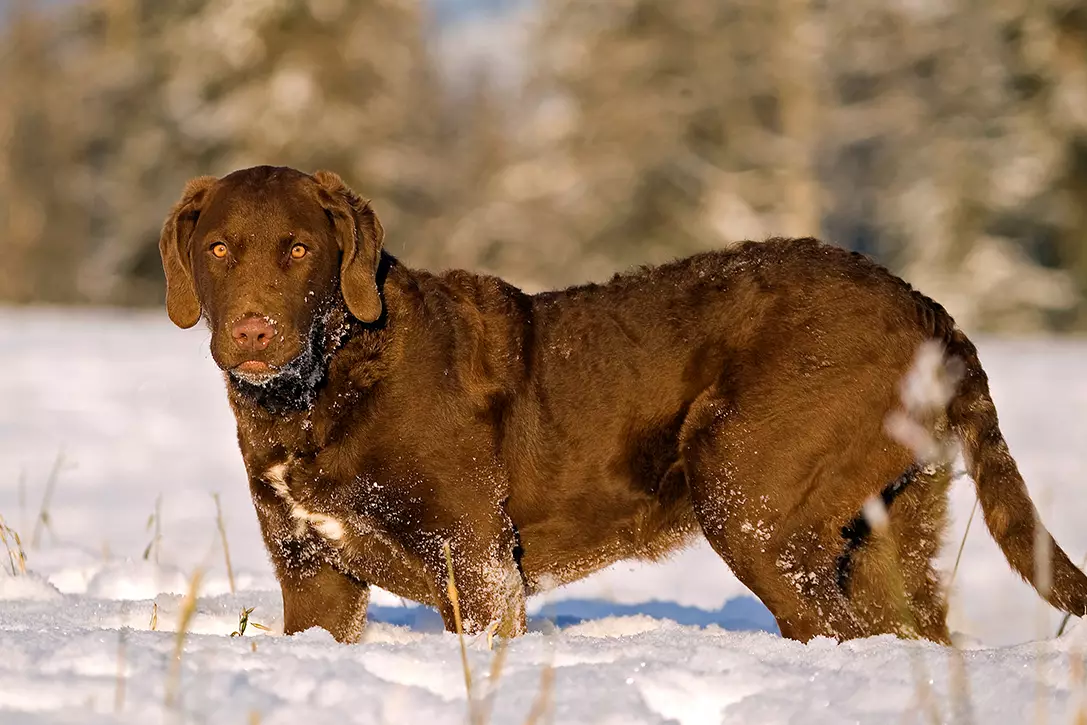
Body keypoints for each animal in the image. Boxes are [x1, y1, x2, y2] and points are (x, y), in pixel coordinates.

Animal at [158, 167, 1087, 643]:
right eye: (219, 249)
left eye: (298, 250)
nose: (252, 330)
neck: (314, 392)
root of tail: (923, 306)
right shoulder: (310, 572)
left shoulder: (478, 567)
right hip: (891, 528)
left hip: (749, 494)